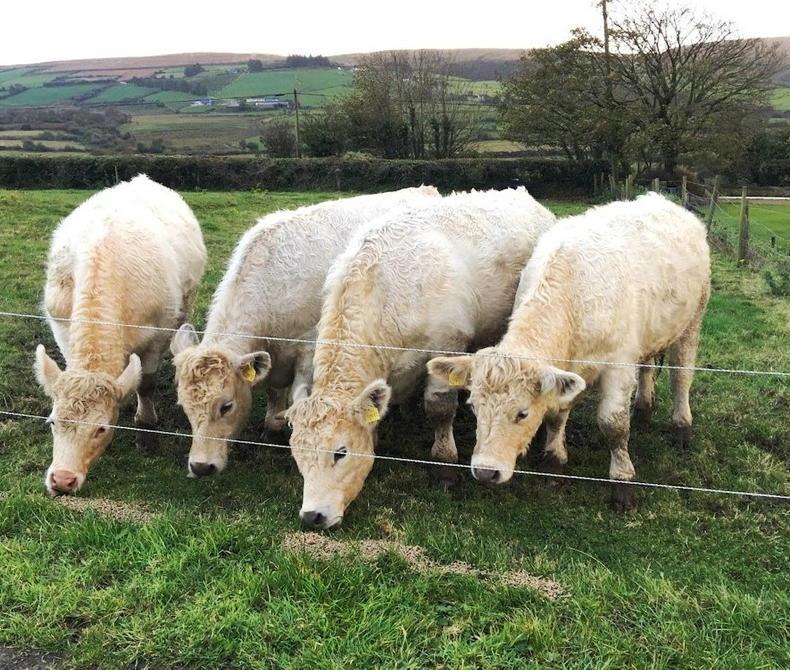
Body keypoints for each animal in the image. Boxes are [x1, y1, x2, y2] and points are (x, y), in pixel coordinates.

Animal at [34, 175, 207, 495]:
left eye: (101, 428)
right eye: (52, 422)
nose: (62, 479)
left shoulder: (157, 335)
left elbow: (147, 384)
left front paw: (145, 429)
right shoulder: (62, 327)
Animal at [170, 187, 440, 479]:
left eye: (226, 405)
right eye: (183, 406)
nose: (200, 466)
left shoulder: (309, 350)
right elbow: (275, 392)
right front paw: (272, 426)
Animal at [287, 188, 557, 529]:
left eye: (340, 452)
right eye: (296, 454)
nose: (312, 516)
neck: (386, 289)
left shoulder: (447, 346)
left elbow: (440, 409)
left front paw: (444, 465)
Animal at [428, 193, 711, 512]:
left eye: (522, 413)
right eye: (474, 407)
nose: (486, 471)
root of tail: (663, 200)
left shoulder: (619, 363)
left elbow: (614, 424)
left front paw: (623, 483)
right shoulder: (567, 367)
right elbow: (556, 414)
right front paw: (554, 463)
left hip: (693, 320)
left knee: (681, 376)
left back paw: (682, 427)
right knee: (648, 366)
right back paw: (643, 408)